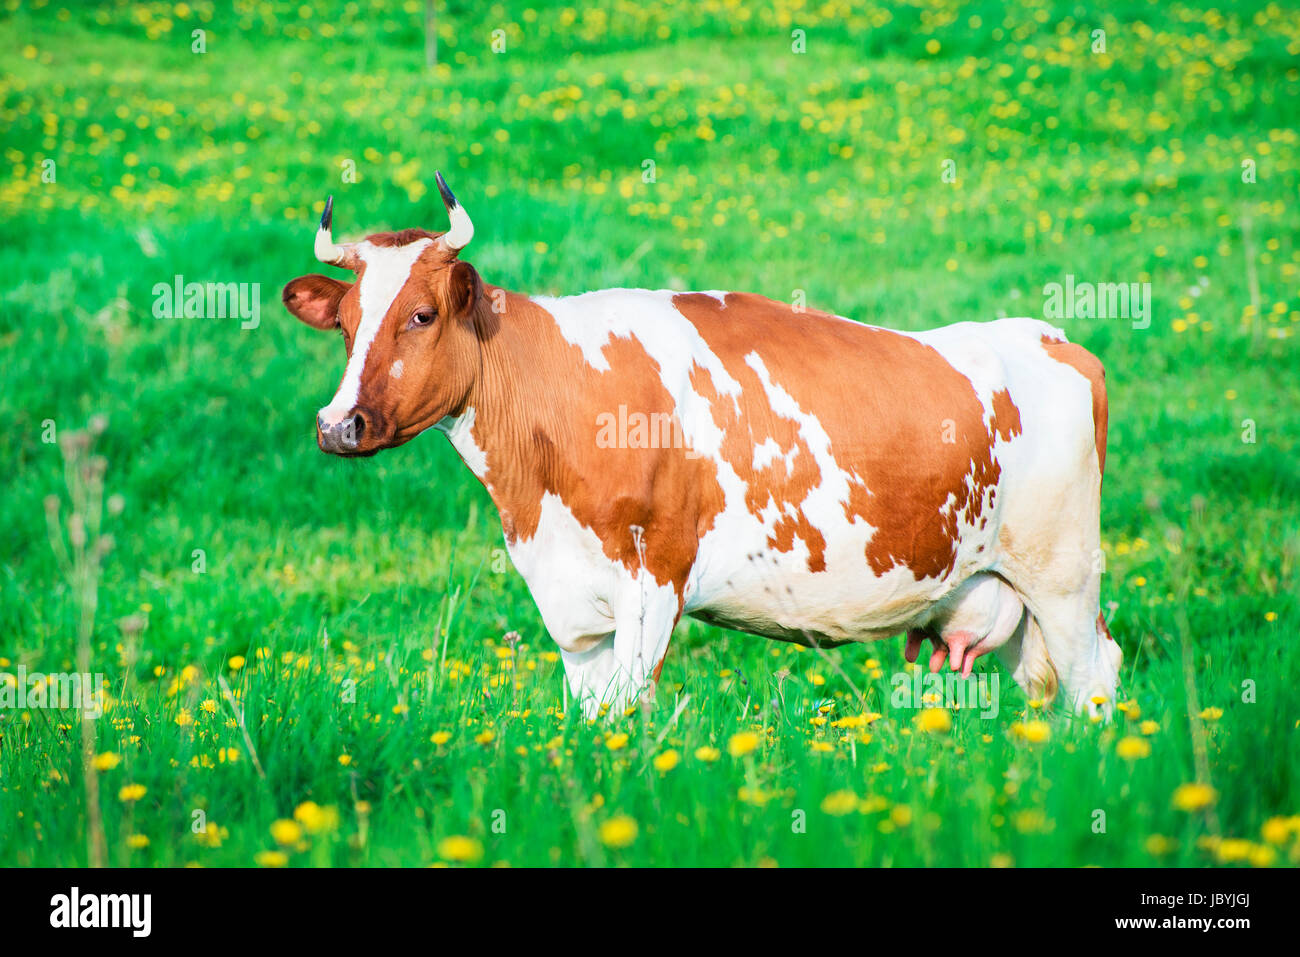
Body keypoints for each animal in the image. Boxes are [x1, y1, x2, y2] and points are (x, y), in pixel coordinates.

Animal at [283, 174, 1122, 721]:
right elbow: (591, 720)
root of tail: (1051, 338)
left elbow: (627, 713)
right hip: (996, 588)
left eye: (422, 314)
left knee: (1094, 679)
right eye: (345, 323)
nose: (338, 424)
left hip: (1063, 575)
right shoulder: (570, 605)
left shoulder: (654, 581)